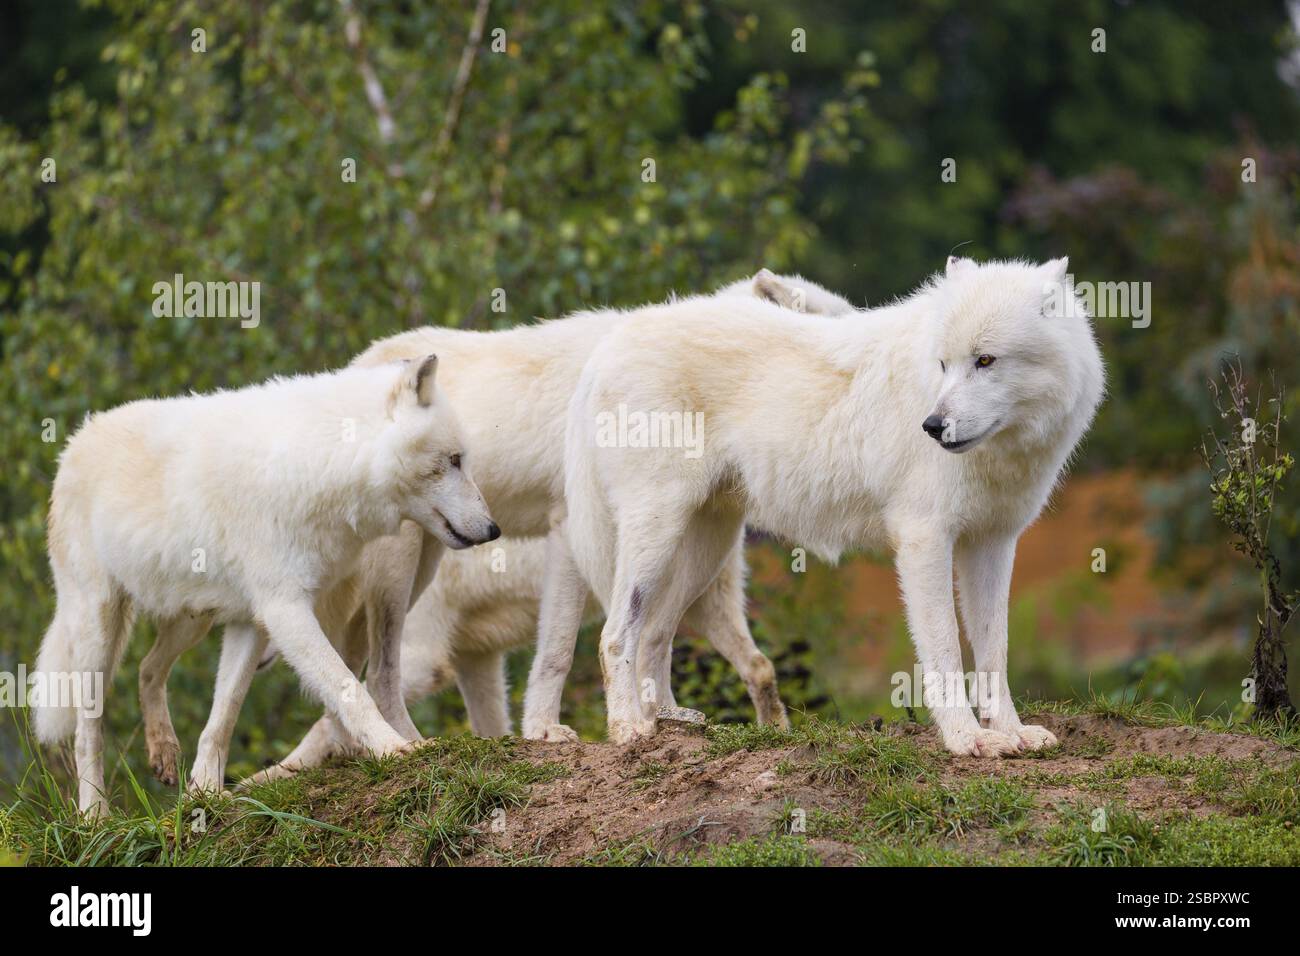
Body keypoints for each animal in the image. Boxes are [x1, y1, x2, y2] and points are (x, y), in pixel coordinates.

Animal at [30, 357, 498, 813]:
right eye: (455, 460)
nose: (494, 530)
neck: (322, 464)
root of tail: (75, 441)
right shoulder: (284, 610)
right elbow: (348, 689)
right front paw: (393, 749)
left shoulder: (250, 621)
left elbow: (223, 716)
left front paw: (205, 795)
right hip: (98, 628)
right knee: (87, 732)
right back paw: (94, 816)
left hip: (192, 620)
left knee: (148, 668)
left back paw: (163, 751)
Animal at [563, 257, 1105, 752]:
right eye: (944, 365)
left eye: (985, 360)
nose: (932, 426)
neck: (1005, 451)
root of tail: (609, 344)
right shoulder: (924, 540)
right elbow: (947, 649)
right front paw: (967, 739)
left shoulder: (993, 542)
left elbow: (995, 650)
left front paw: (1013, 733)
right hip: (657, 536)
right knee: (616, 635)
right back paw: (628, 729)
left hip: (704, 549)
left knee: (655, 633)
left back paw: (671, 723)